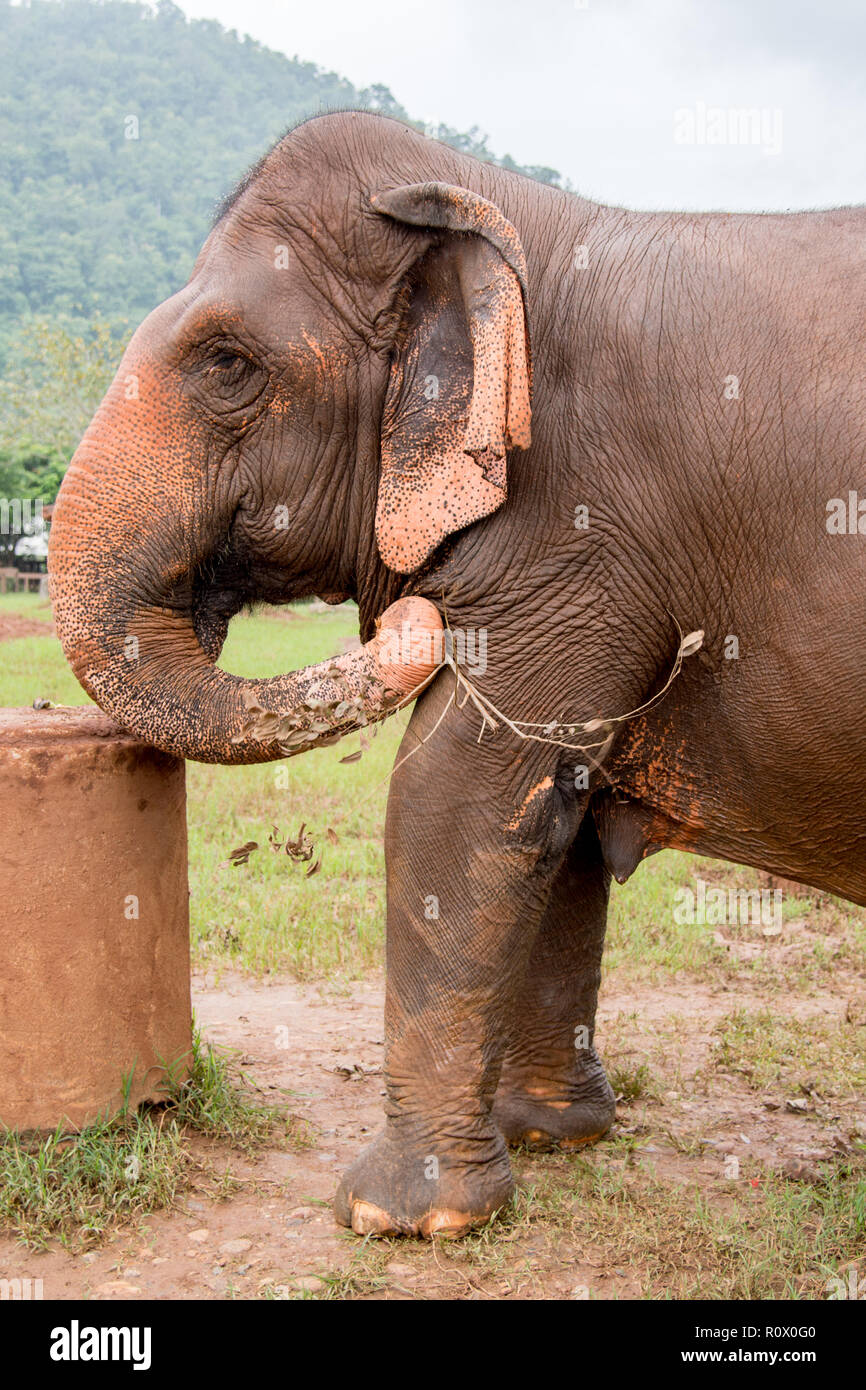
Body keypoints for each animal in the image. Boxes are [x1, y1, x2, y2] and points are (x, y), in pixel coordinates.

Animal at [49, 110, 866, 1239]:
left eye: (226, 363)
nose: (414, 619)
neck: (503, 212)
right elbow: (557, 815)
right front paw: (547, 1135)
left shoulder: (573, 541)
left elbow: (451, 797)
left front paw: (397, 1218)